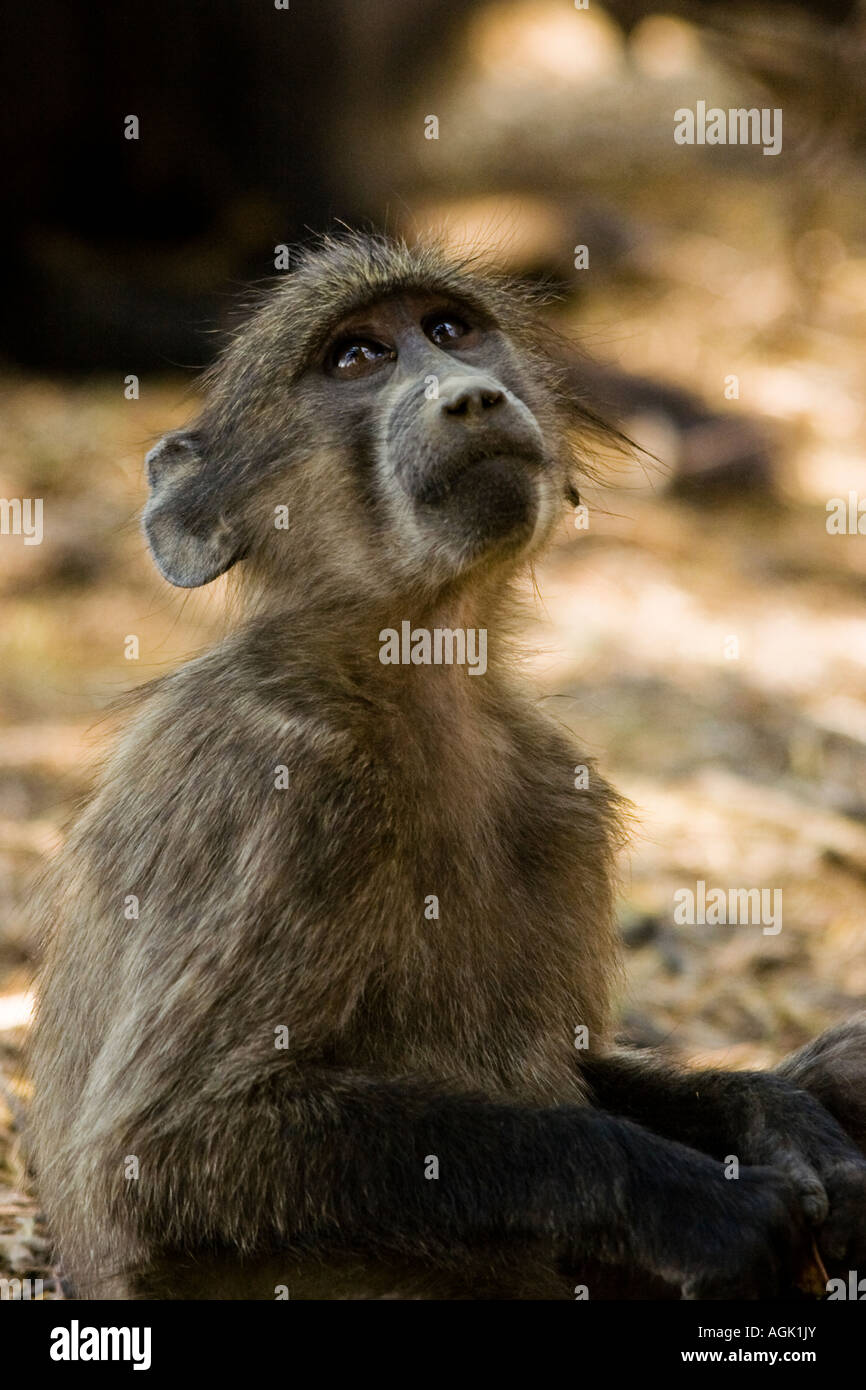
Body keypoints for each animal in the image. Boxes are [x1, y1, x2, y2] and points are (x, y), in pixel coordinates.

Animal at [27, 232, 866, 1301]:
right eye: (355, 358)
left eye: (451, 330)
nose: (470, 396)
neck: (404, 669)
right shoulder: (272, 782)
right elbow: (162, 1151)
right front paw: (692, 1200)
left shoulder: (557, 789)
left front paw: (777, 1118)